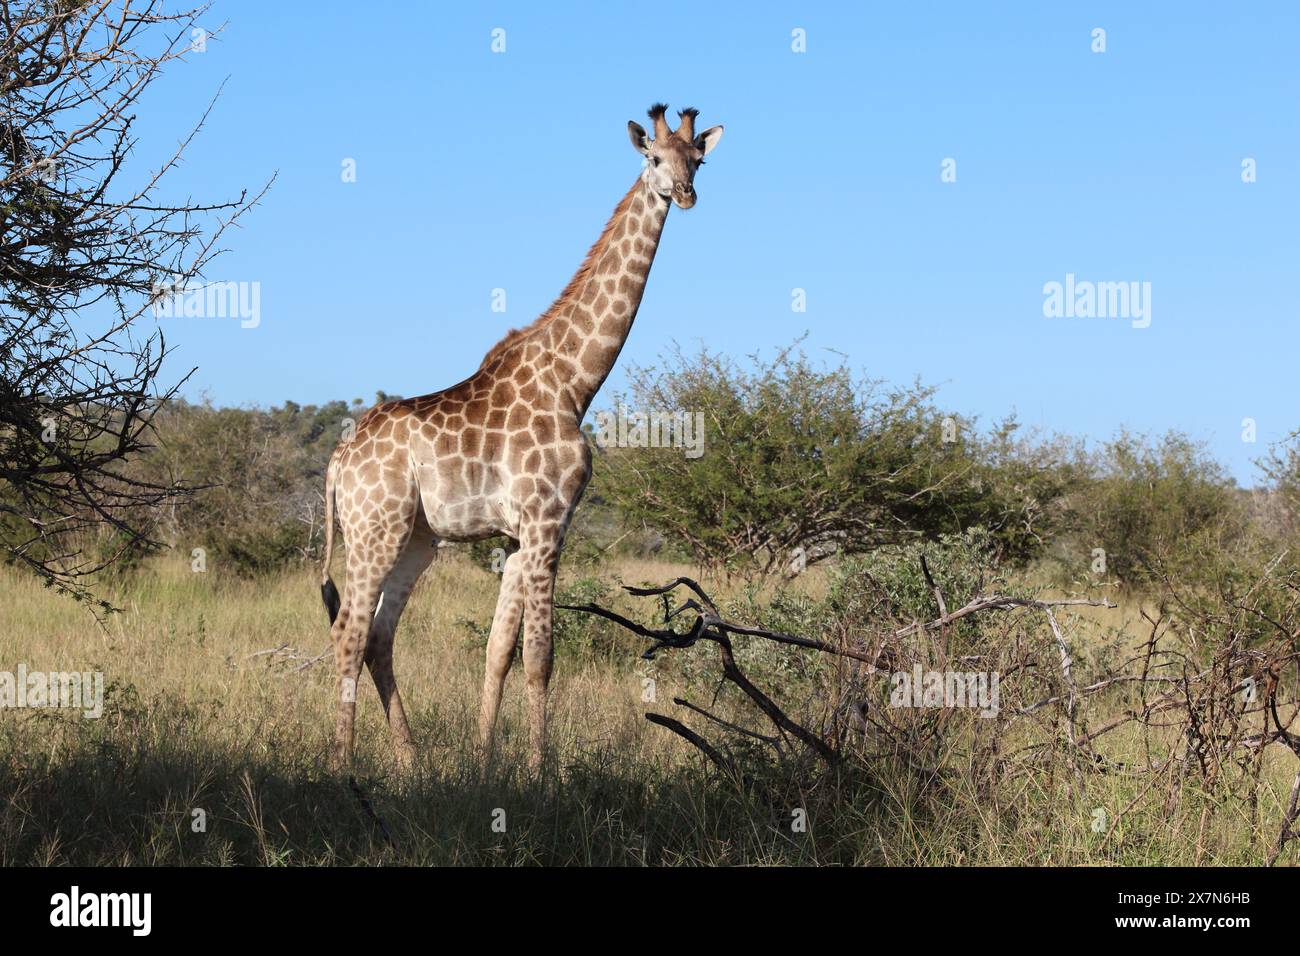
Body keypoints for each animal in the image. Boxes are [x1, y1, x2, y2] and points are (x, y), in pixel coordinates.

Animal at [319, 104, 723, 771]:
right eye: (652, 158)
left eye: (699, 159)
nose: (686, 195)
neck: (574, 381)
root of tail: (336, 461)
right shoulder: (546, 521)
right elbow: (539, 658)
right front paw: (540, 772)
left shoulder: (515, 537)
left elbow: (498, 650)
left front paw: (485, 761)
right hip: (374, 529)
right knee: (348, 633)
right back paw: (344, 765)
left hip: (416, 539)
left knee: (377, 636)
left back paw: (412, 758)